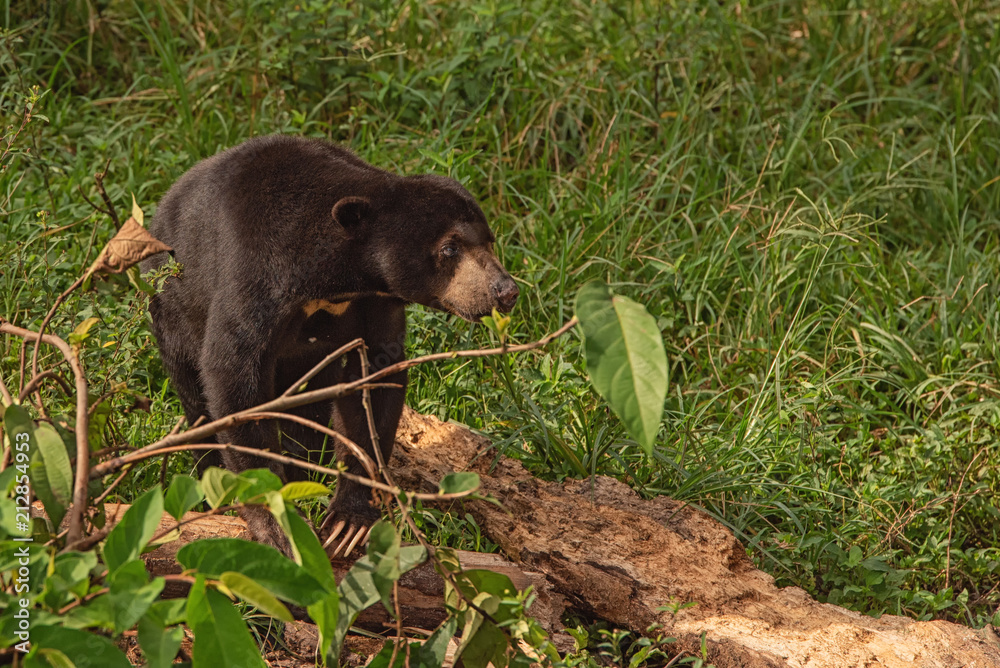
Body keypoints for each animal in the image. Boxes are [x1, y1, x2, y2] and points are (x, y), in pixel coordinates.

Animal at [141, 134, 518, 557]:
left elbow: (374, 379)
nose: (505, 291)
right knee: (195, 396)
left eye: (489, 241)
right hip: (171, 307)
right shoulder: (254, 271)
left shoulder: (373, 302)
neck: (335, 279)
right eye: (450, 248)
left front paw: (348, 522)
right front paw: (275, 525)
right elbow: (233, 373)